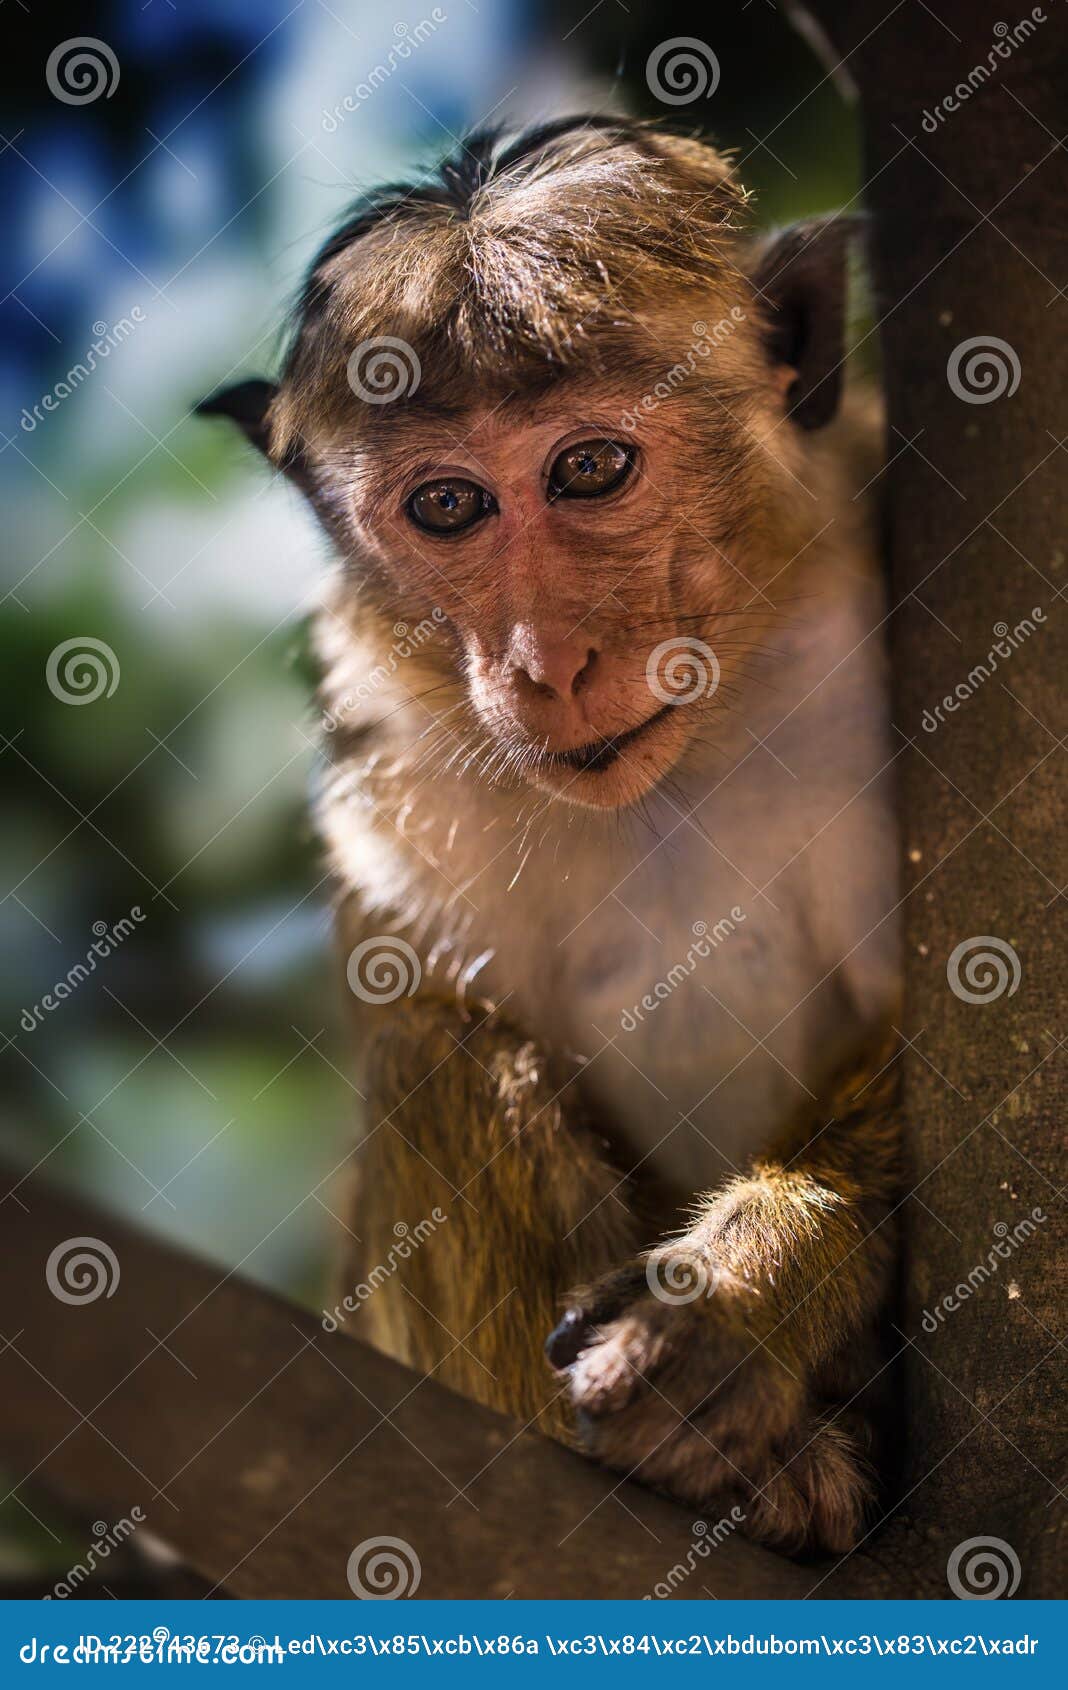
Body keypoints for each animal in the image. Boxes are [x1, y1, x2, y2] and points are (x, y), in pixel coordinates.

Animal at [199, 117, 903, 1556]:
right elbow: (433, 1030)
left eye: (589, 470)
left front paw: (752, 1286)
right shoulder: (399, 788)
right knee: (429, 1051)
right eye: (449, 507)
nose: (544, 664)